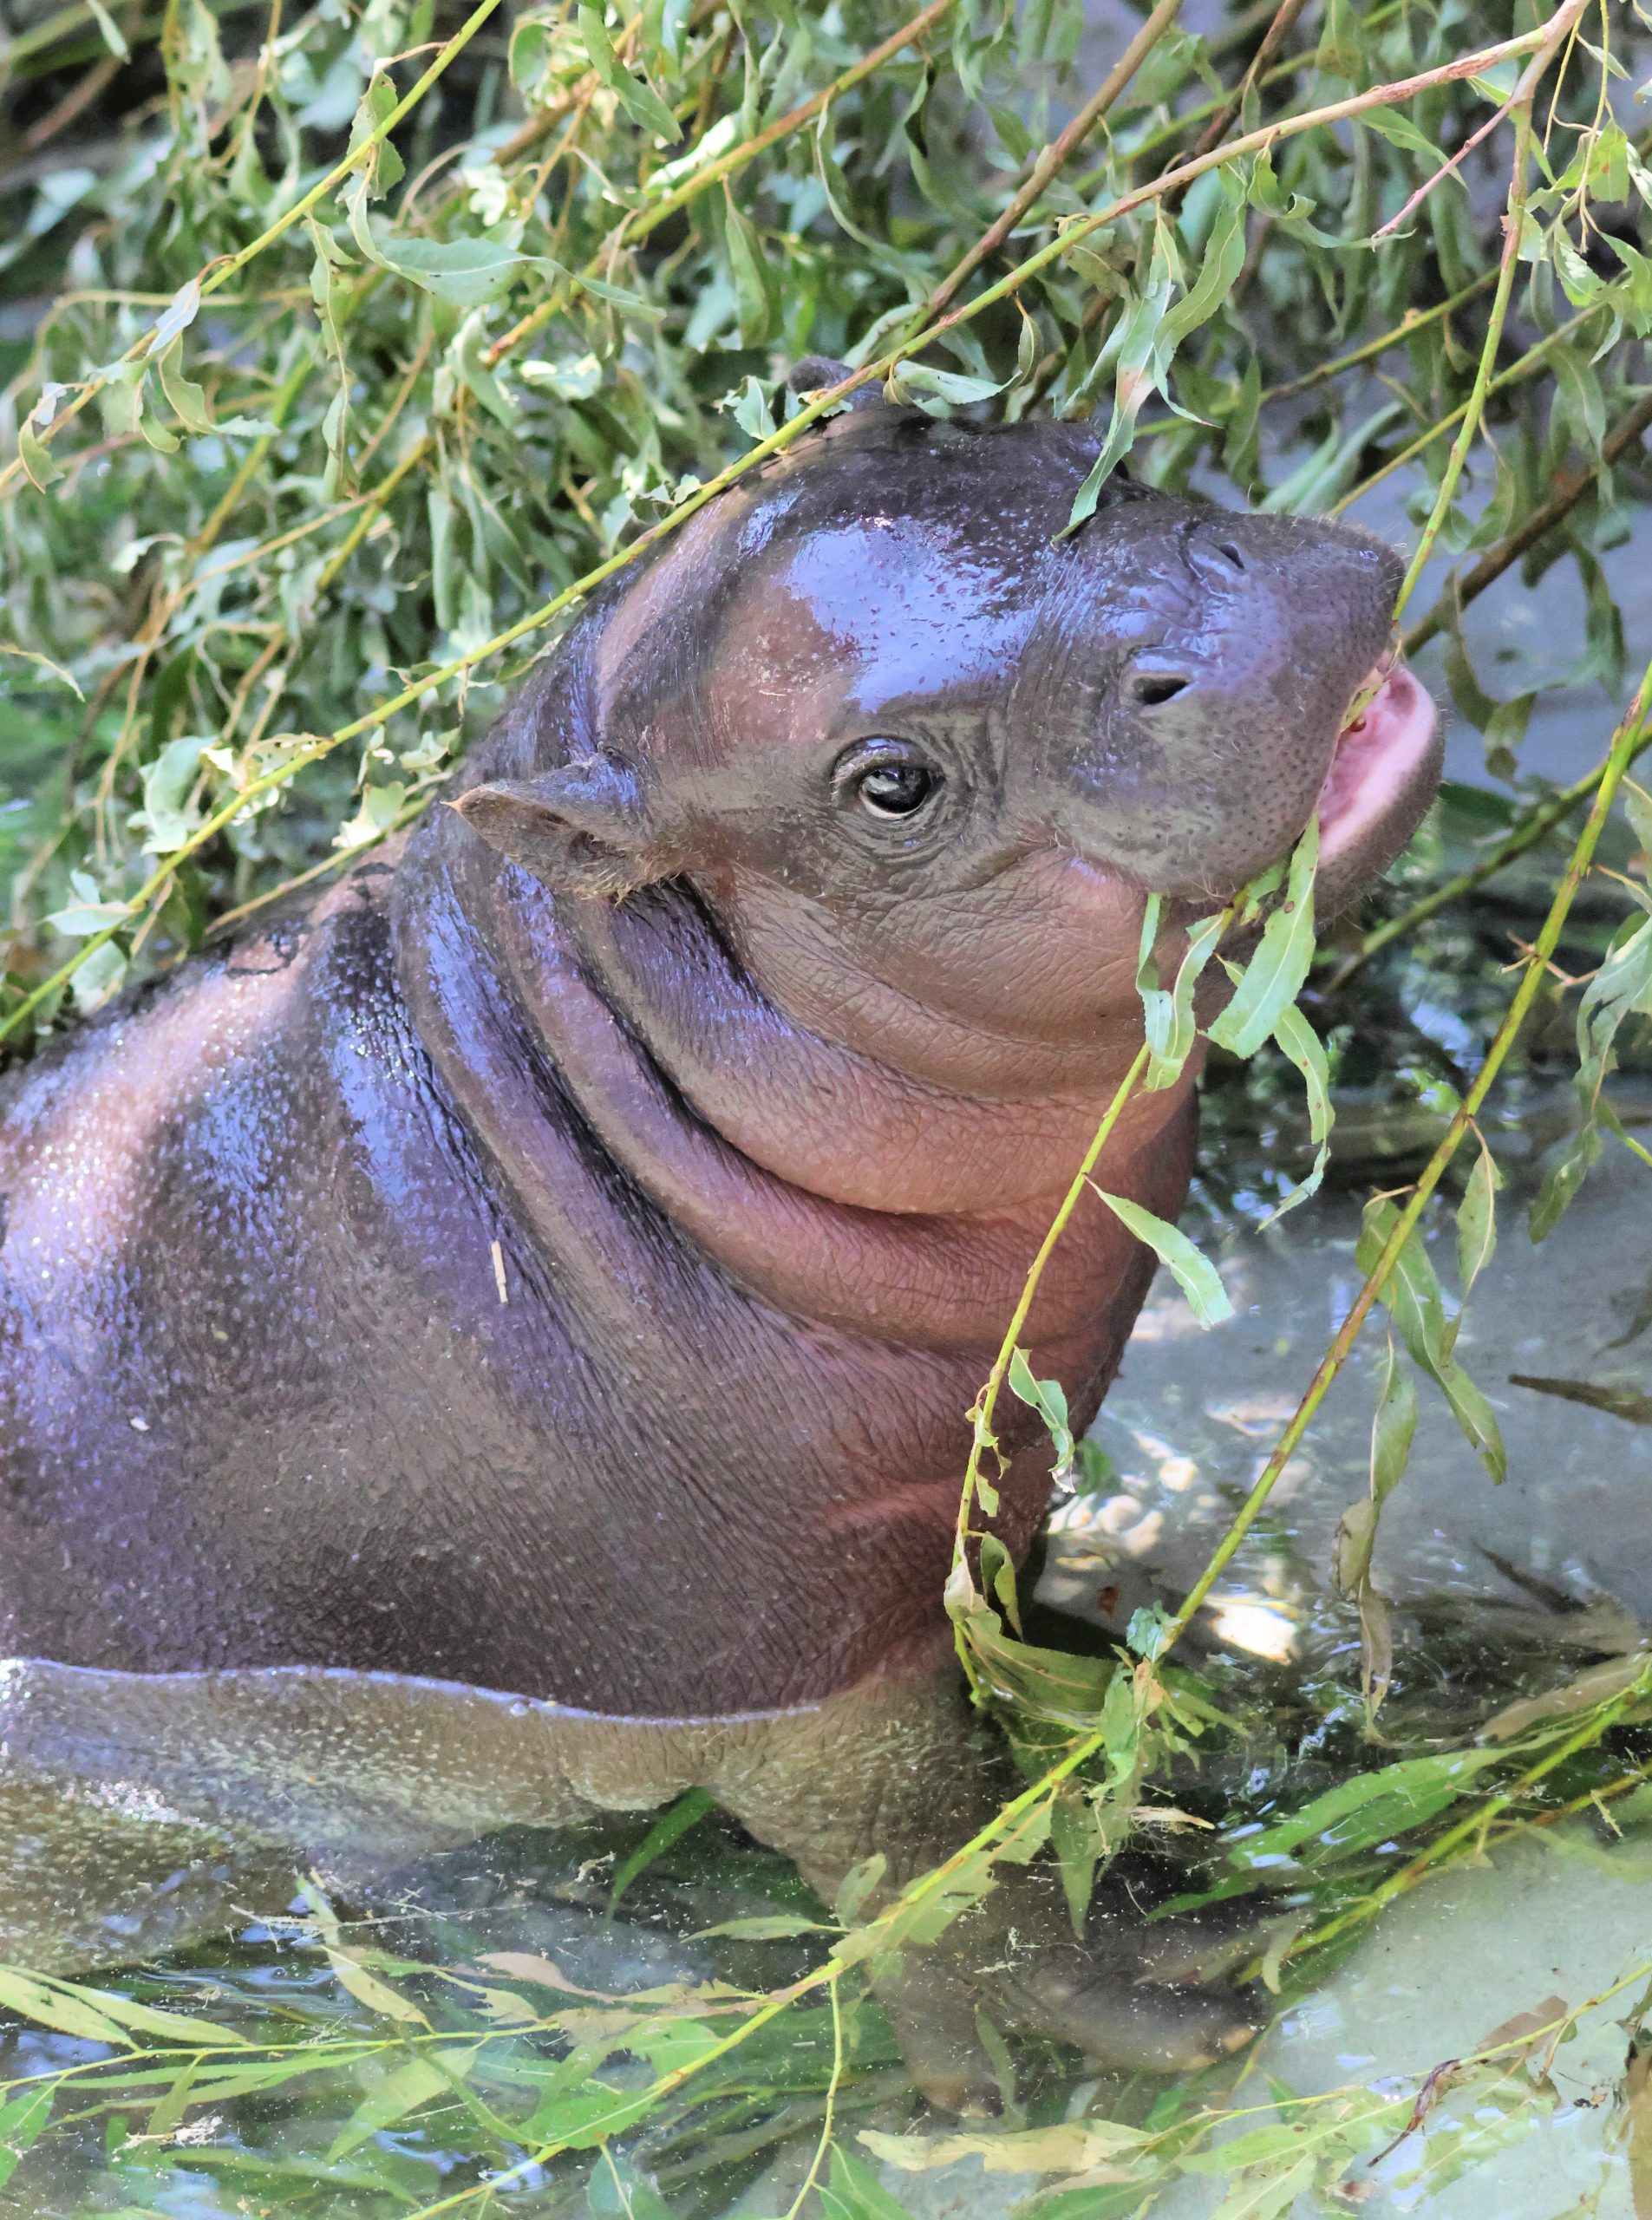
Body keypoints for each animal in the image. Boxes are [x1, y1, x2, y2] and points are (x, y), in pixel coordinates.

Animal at [0, 379, 1440, 2107]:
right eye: (890, 785)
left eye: (1067, 439)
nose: (1219, 605)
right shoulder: (789, 1675)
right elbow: (928, 1851)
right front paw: (1141, 1986)